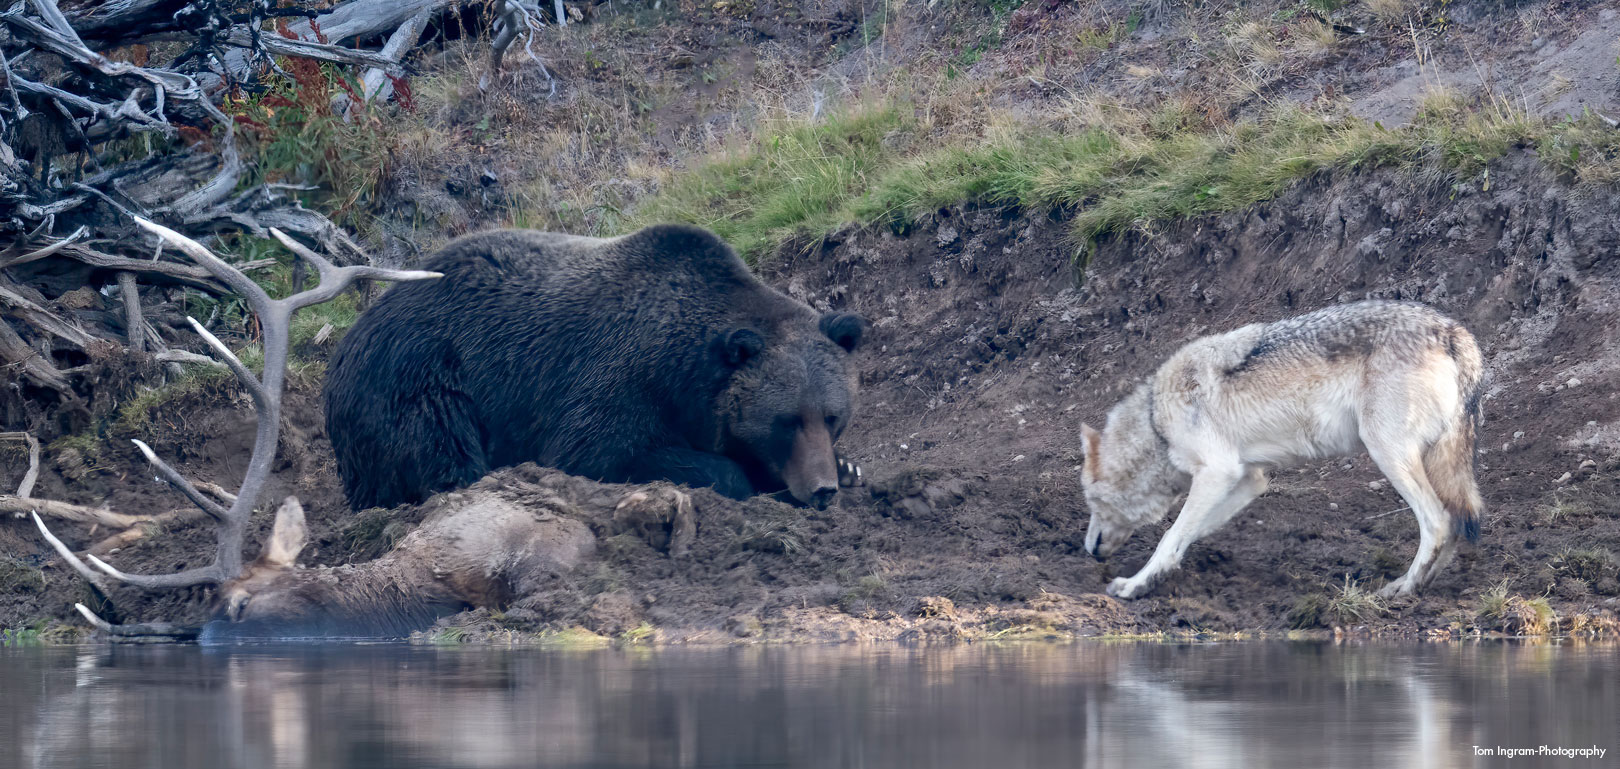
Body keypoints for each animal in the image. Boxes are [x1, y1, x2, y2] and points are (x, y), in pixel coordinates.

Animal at [323, 224, 866, 512]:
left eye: (832, 416)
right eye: (785, 420)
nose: (822, 490)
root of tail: (349, 338)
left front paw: (850, 466)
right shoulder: (615, 375)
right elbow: (600, 450)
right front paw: (740, 478)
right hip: (420, 377)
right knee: (441, 449)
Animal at [1079, 300, 1484, 599]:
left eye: (1091, 502)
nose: (1088, 549)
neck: (1154, 420)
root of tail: (1455, 332)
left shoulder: (1216, 472)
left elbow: (1170, 534)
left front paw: (1135, 584)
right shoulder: (1248, 480)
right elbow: (1190, 531)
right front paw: (1158, 574)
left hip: (1386, 452)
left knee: (1437, 521)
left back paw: (1405, 588)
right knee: (1456, 522)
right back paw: (1424, 584)